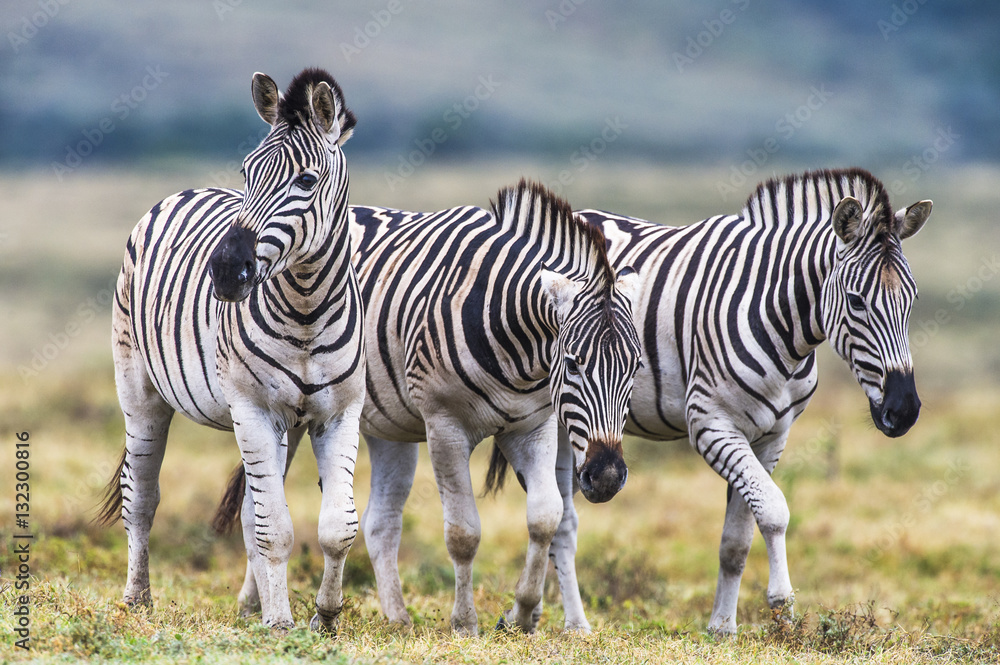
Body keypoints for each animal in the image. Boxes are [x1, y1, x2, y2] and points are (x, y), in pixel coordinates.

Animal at [97, 68, 366, 632]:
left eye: (306, 181)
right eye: (247, 172)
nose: (224, 271)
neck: (307, 311)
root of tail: (183, 190)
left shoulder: (339, 413)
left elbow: (336, 526)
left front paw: (325, 617)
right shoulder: (254, 407)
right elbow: (275, 529)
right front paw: (282, 625)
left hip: (283, 426)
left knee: (251, 509)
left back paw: (251, 605)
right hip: (141, 392)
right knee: (142, 495)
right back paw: (137, 599)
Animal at [214, 180, 644, 634]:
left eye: (636, 366)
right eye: (574, 363)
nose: (607, 477)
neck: (518, 347)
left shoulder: (533, 425)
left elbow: (546, 517)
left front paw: (522, 614)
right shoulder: (445, 426)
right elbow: (464, 533)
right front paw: (465, 623)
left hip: (386, 428)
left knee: (380, 521)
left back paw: (396, 618)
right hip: (289, 416)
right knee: (260, 507)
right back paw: (256, 607)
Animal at [490, 168, 932, 633]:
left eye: (913, 299)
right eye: (857, 301)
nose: (904, 410)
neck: (780, 323)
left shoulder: (771, 435)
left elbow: (737, 538)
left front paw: (722, 627)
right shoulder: (711, 424)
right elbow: (775, 509)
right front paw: (783, 608)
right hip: (564, 422)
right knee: (564, 520)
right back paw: (573, 624)